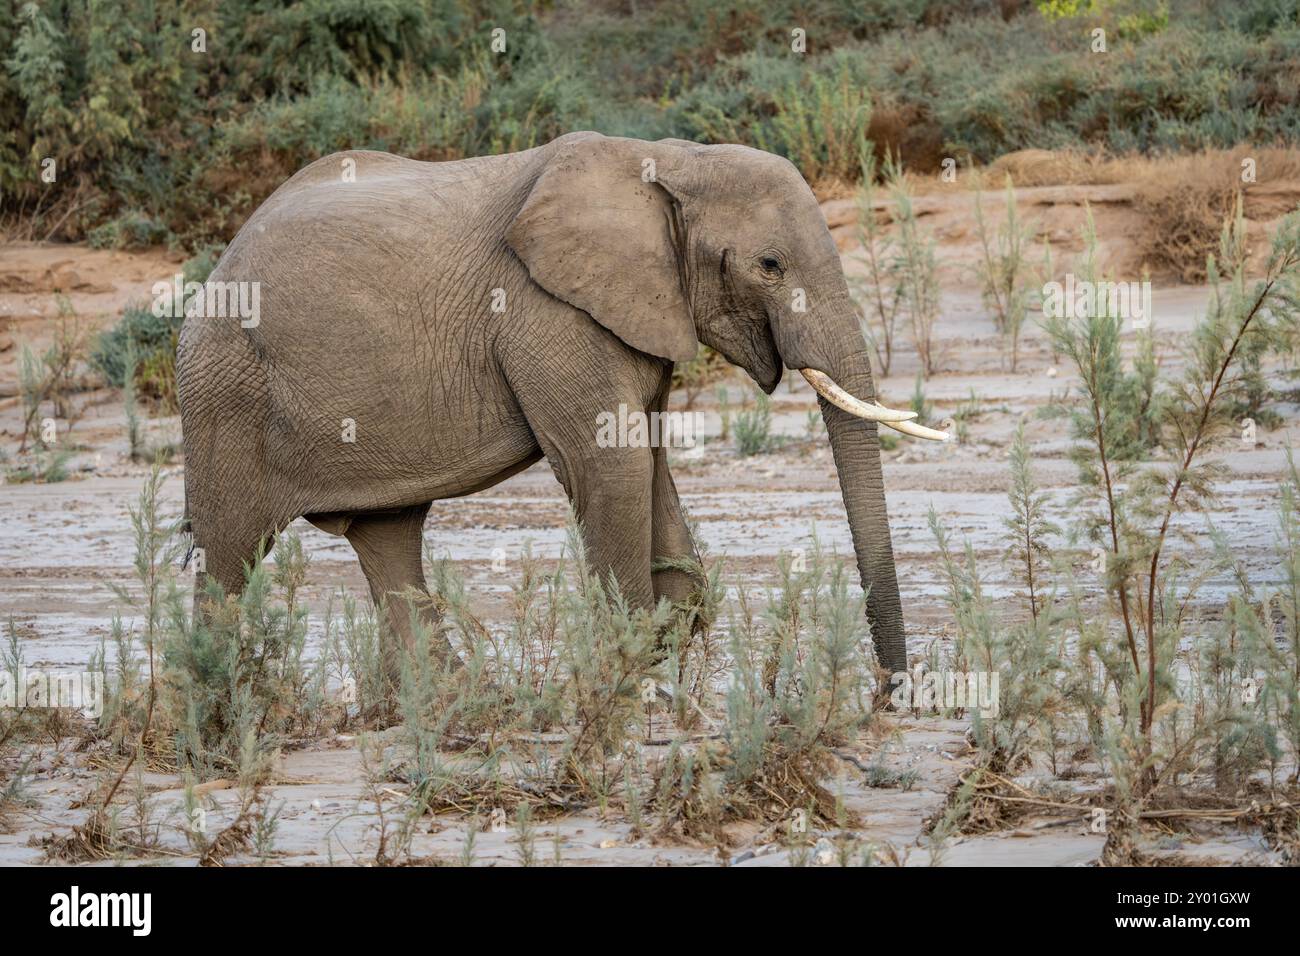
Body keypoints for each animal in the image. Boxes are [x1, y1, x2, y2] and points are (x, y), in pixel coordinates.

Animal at [176, 131, 944, 689]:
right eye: (770, 266)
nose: (891, 691)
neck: (671, 160)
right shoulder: (546, 313)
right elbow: (613, 465)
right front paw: (630, 668)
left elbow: (648, 460)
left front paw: (663, 636)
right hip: (226, 390)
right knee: (229, 551)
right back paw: (220, 704)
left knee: (388, 535)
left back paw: (451, 704)